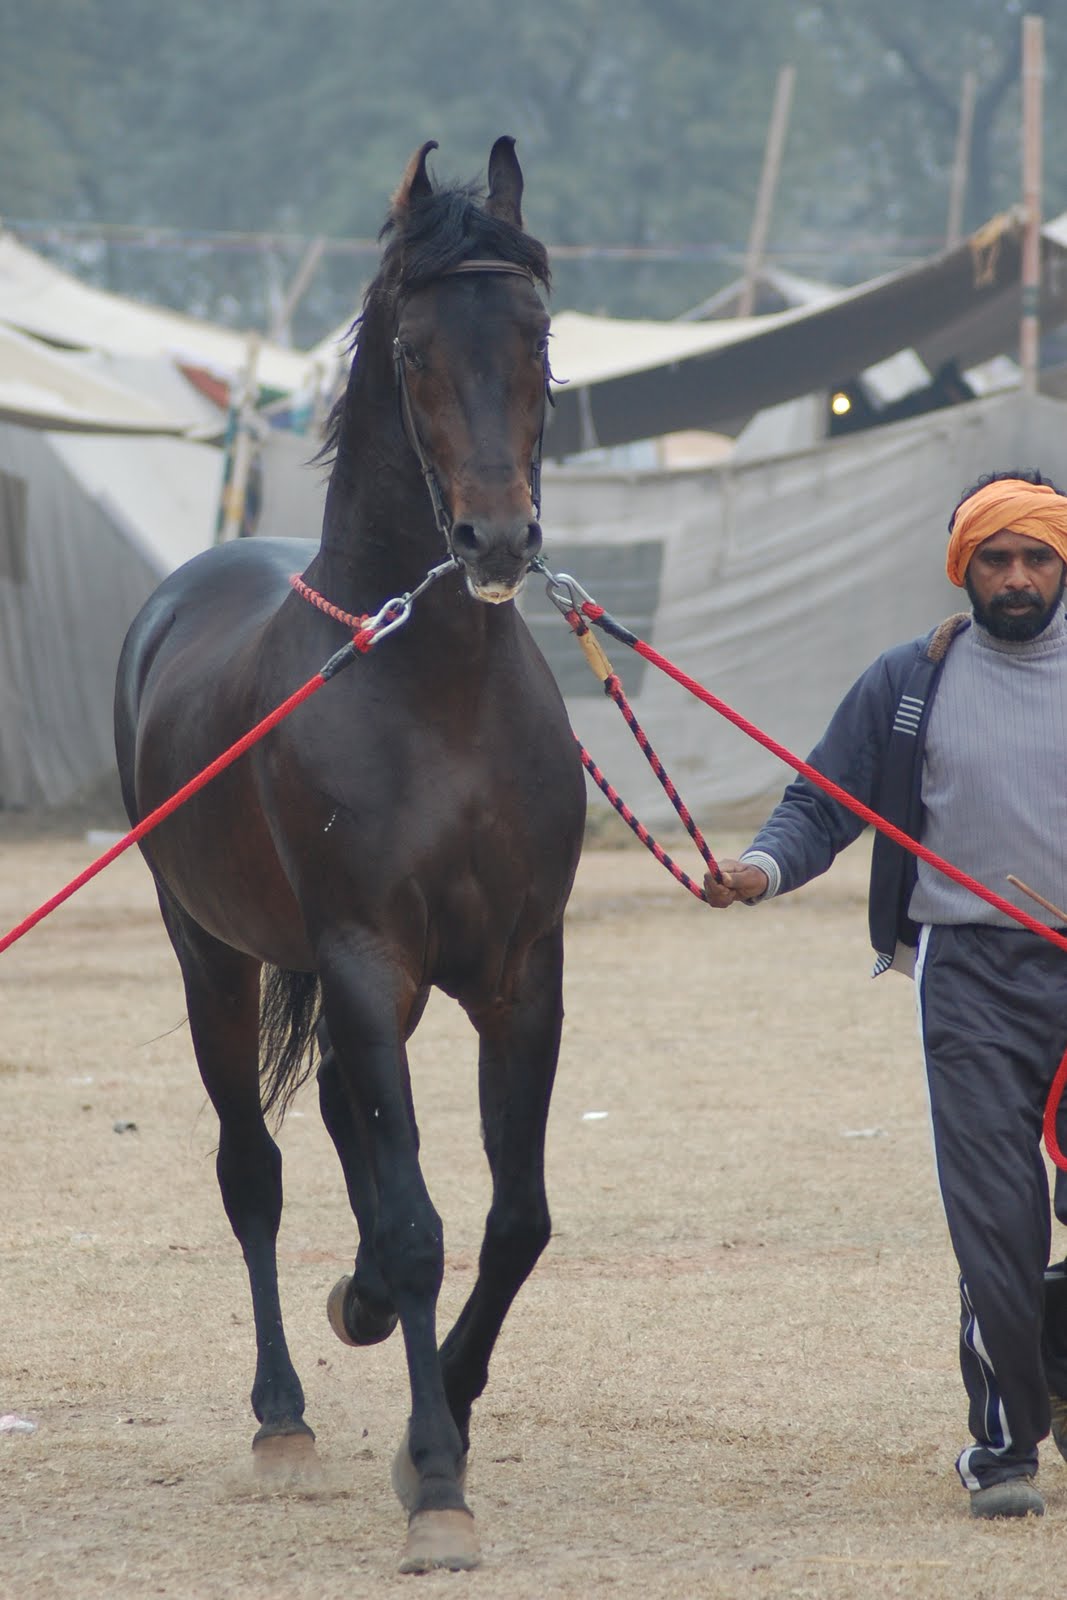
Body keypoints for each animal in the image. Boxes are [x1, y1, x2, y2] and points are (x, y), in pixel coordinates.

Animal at [113, 136, 586, 1574]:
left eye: (537, 339)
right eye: (416, 350)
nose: (496, 542)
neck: (433, 690)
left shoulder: (518, 975)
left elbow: (510, 1217)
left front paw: (445, 1404)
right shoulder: (368, 961)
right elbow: (421, 1223)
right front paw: (434, 1481)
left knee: (340, 1127)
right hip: (212, 960)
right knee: (254, 1173)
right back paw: (283, 1415)